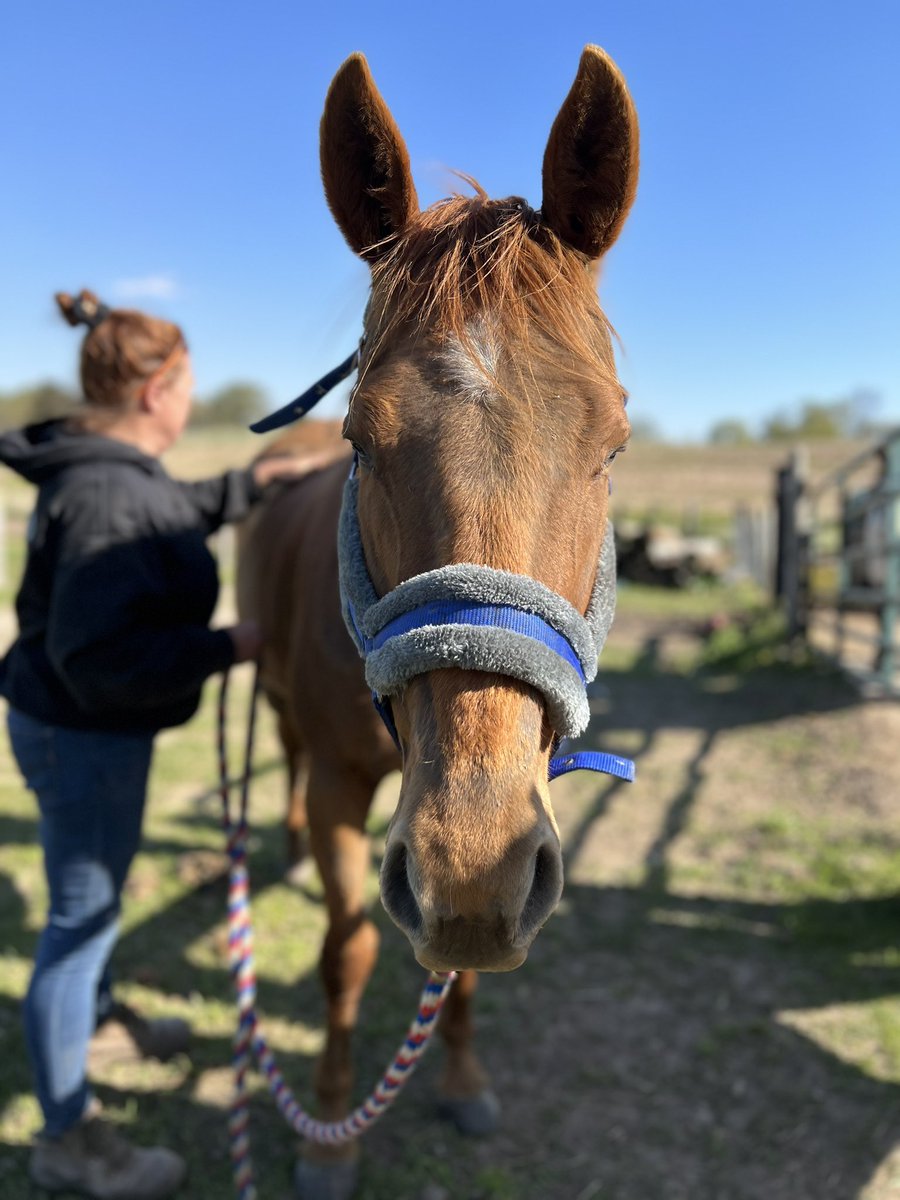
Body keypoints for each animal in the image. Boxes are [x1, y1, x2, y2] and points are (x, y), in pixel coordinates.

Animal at [237, 44, 639, 1198]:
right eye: (360, 440)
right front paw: (331, 1130)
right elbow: (346, 950)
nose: (461, 862)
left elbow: (459, 964)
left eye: (611, 443)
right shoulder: (346, 783)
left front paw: (459, 1080)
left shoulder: (511, 829)